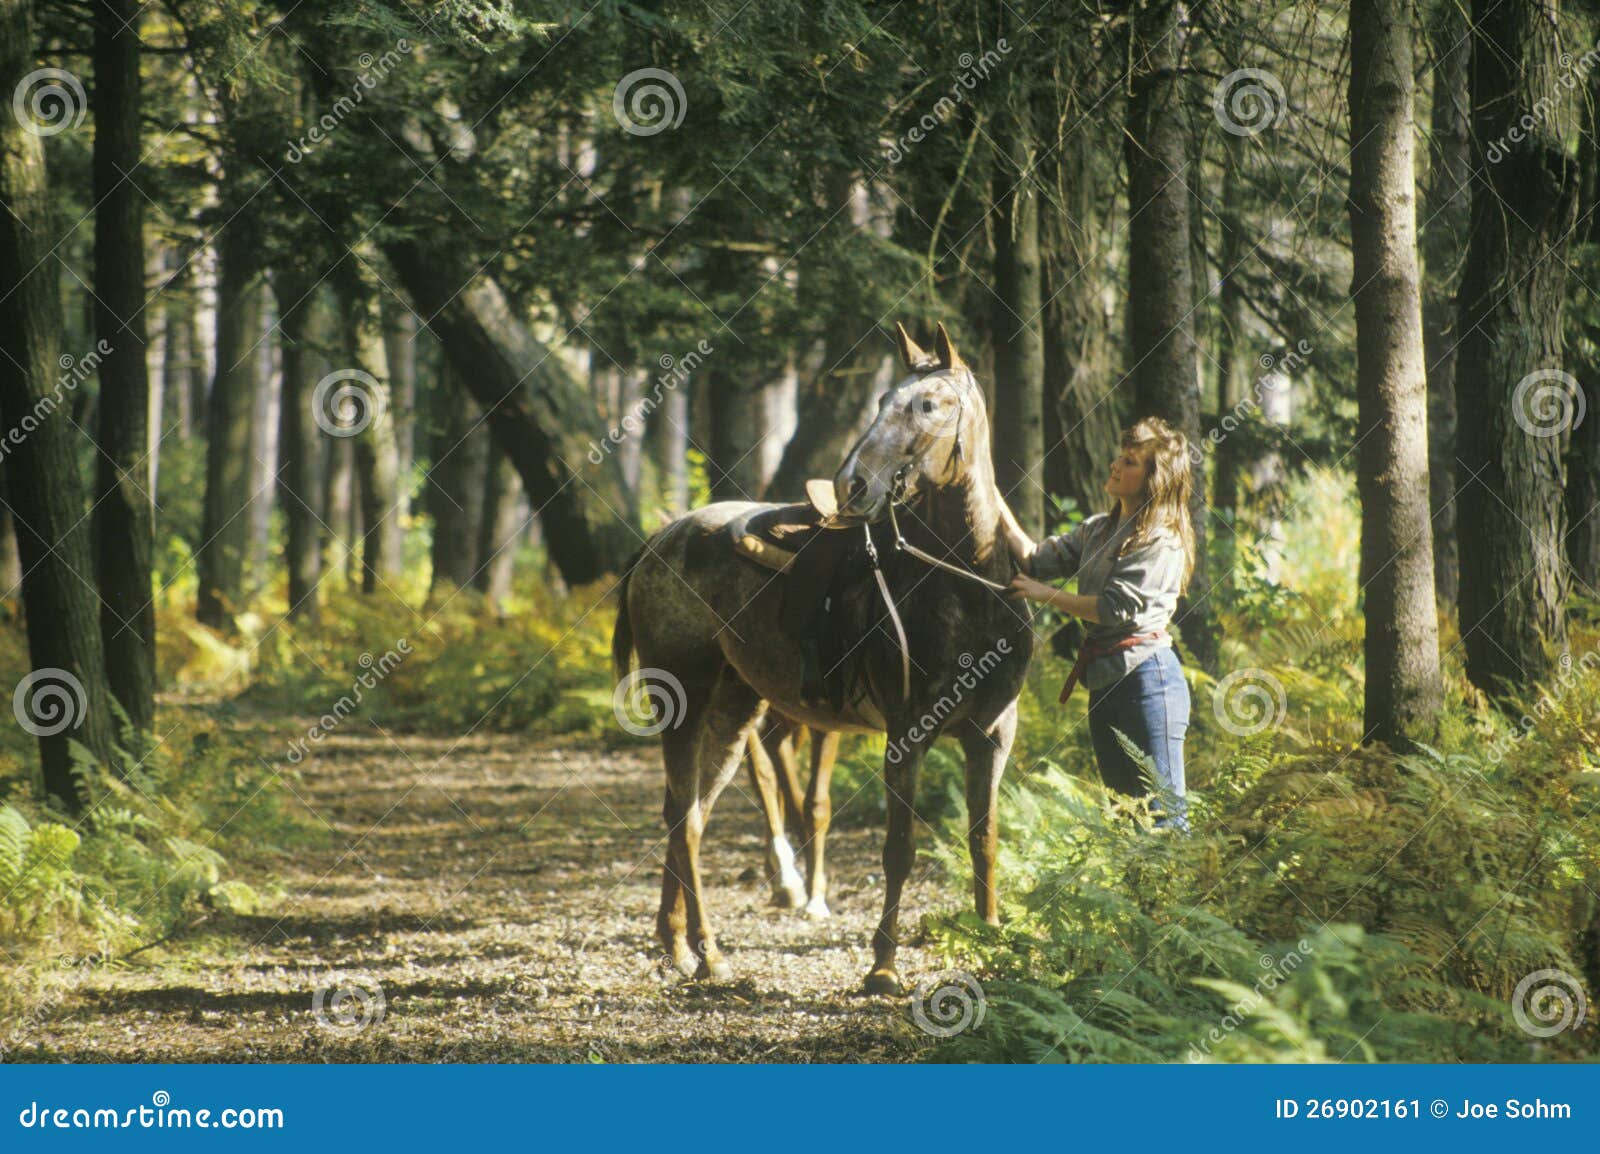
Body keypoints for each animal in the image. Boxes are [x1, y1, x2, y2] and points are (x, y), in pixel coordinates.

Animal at [611, 322, 1034, 994]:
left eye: (929, 404)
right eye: (883, 397)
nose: (852, 485)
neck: (968, 585)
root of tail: (659, 540)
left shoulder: (992, 735)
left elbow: (984, 838)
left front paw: (992, 938)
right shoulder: (907, 735)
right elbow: (899, 849)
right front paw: (883, 966)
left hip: (733, 711)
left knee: (688, 812)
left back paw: (678, 944)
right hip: (685, 701)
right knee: (686, 819)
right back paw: (709, 952)